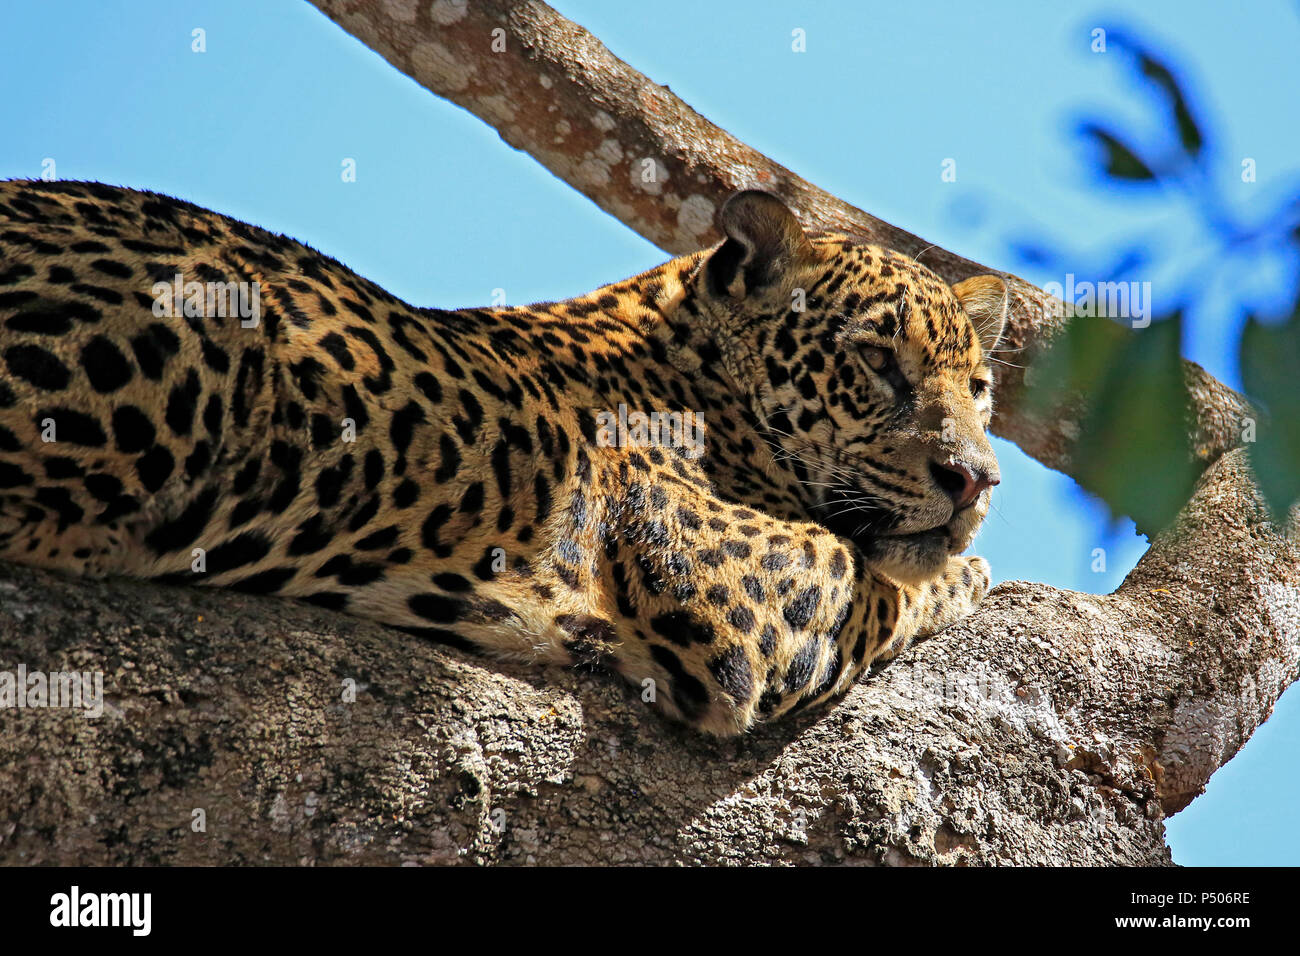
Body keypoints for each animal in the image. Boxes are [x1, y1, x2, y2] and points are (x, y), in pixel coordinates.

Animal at [0, 180, 1007, 736]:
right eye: (877, 361)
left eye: (980, 388)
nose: (976, 480)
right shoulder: (738, 591)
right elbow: (881, 580)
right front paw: (968, 573)